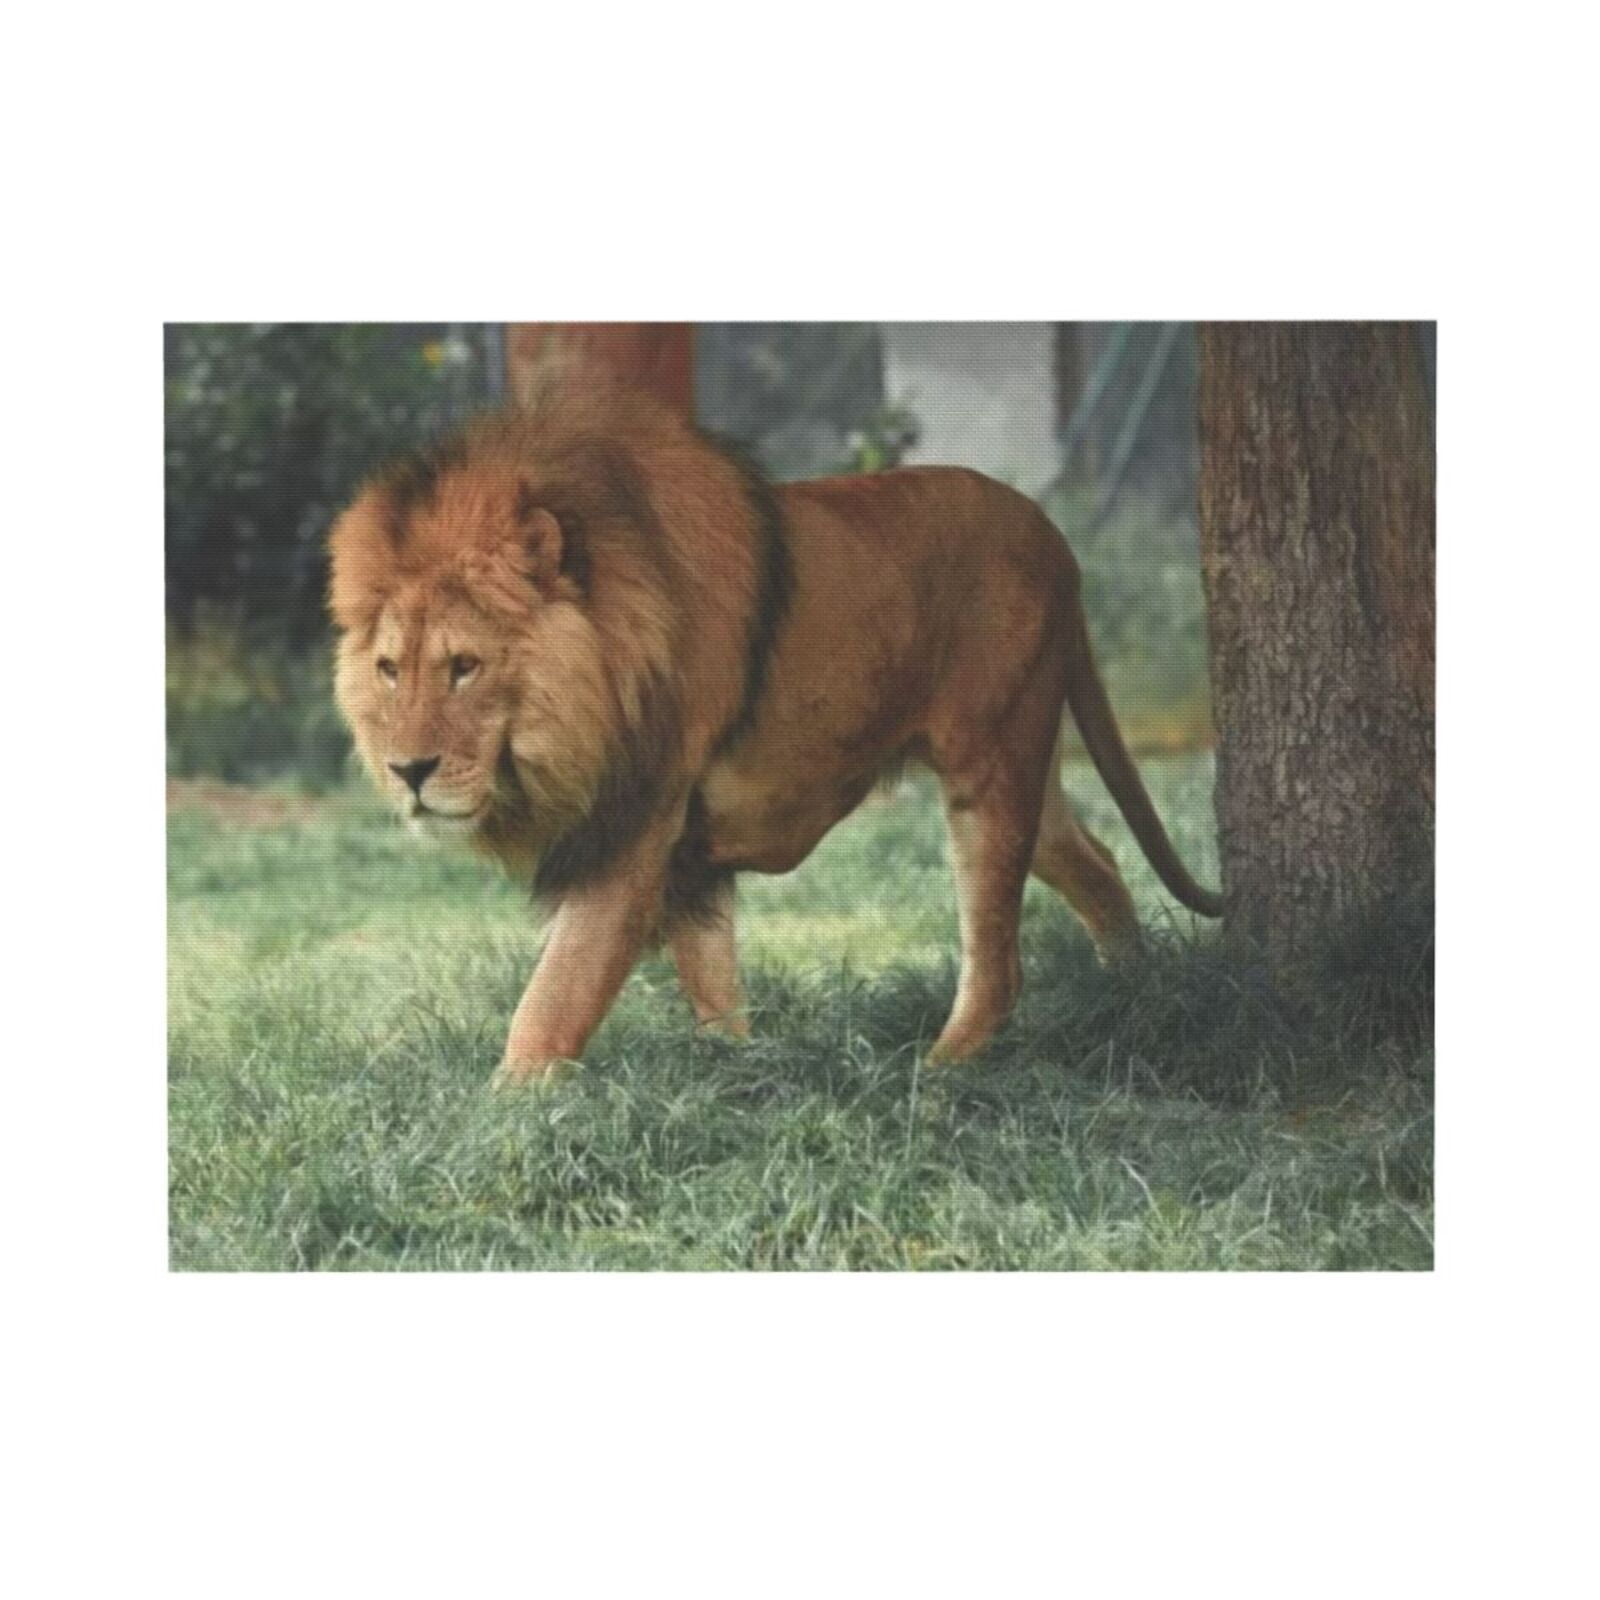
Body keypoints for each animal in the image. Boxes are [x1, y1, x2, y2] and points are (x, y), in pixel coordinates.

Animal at [328, 385, 1221, 1085]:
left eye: (464, 667)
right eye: (388, 670)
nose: (408, 771)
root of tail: (1056, 540)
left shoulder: (636, 827)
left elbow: (557, 994)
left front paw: (504, 1114)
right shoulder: (686, 852)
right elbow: (712, 980)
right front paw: (739, 1073)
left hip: (990, 762)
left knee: (998, 959)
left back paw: (937, 1074)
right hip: (1023, 758)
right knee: (1096, 859)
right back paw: (1135, 994)